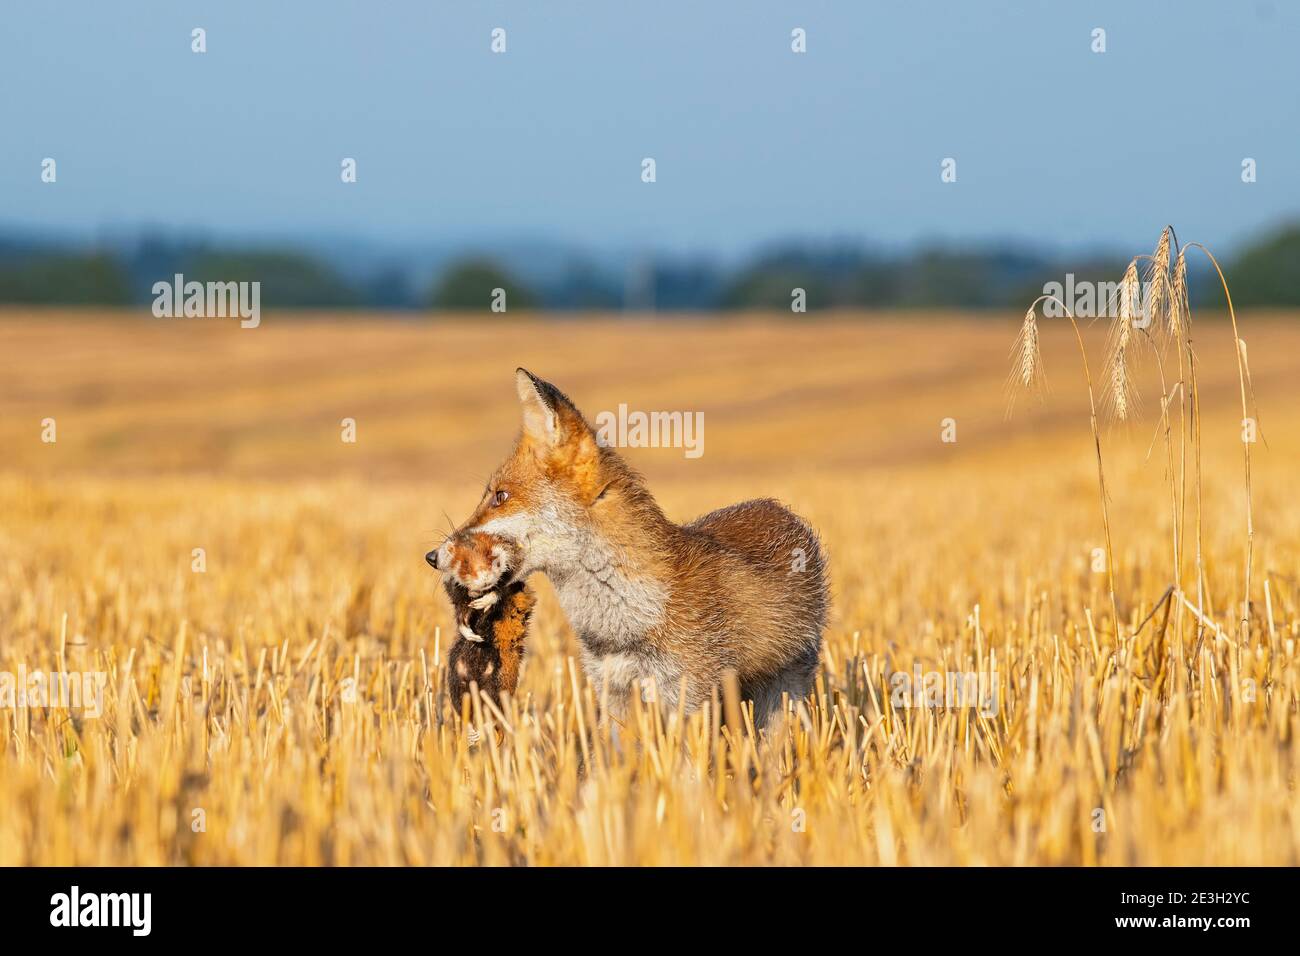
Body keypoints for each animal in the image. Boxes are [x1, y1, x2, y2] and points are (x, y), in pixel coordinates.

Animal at [429, 369, 828, 726]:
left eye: (500, 496)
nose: (432, 557)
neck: (618, 625)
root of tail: (775, 506)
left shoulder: (688, 698)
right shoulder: (612, 691)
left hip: (782, 696)